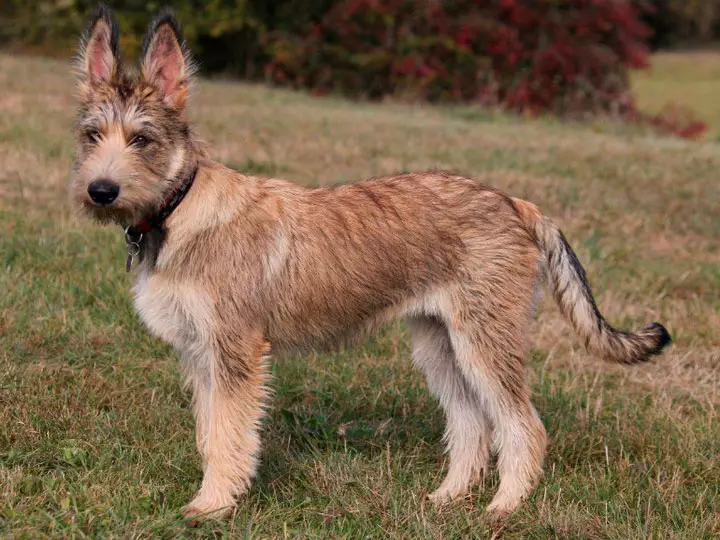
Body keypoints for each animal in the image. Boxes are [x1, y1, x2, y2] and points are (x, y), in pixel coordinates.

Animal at [70, 3, 672, 520]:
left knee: (522, 425)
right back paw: (448, 498)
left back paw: (504, 507)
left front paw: (212, 506)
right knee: (472, 427)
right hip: (440, 348)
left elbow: (227, 437)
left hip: (485, 345)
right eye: (91, 135)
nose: (100, 191)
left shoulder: (235, 354)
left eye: (143, 139)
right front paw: (216, 497)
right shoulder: (200, 357)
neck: (179, 209)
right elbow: (209, 433)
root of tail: (515, 203)